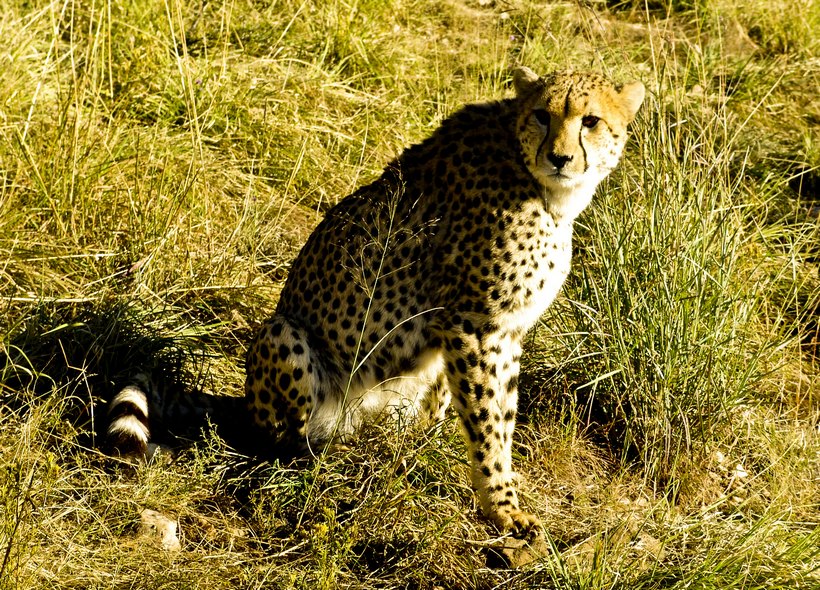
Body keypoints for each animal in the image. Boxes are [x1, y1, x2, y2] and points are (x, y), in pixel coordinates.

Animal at [108, 66, 644, 535]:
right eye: (541, 116)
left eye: (590, 121)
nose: (560, 158)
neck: (540, 181)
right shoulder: (475, 323)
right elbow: (489, 422)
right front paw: (502, 507)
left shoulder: (500, 330)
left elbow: (493, 413)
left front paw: (465, 470)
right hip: (283, 336)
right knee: (279, 441)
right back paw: (323, 459)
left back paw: (396, 448)